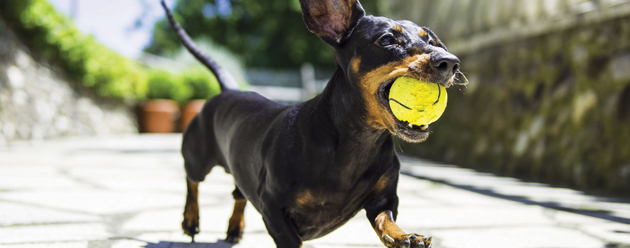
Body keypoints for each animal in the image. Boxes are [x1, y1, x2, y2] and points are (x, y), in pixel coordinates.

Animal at [163, 0, 470, 246]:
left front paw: (404, 236)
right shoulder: (273, 207)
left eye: (431, 40)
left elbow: (385, 219)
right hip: (198, 156)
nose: (450, 62)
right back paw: (190, 220)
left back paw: (234, 229)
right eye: (386, 40)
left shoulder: (384, 199)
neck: (356, 144)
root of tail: (230, 90)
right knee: (193, 181)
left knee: (238, 193)